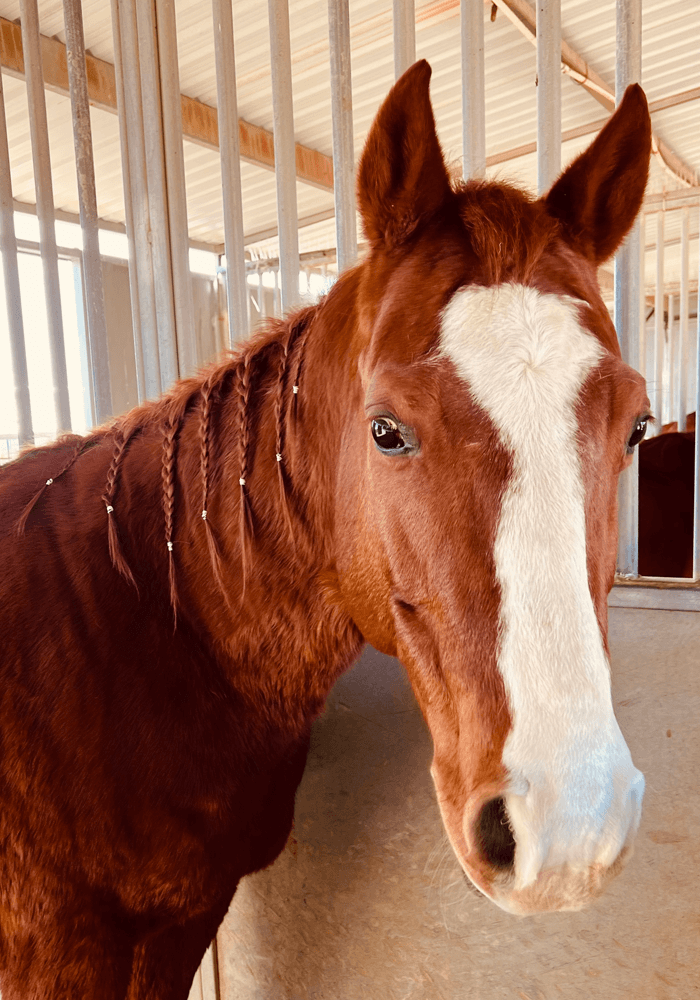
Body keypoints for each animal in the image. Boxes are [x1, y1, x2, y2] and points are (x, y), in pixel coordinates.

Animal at [0, 60, 652, 999]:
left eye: (637, 427)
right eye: (385, 430)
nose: (569, 829)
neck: (140, 632)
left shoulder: (179, 923)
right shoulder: (59, 953)